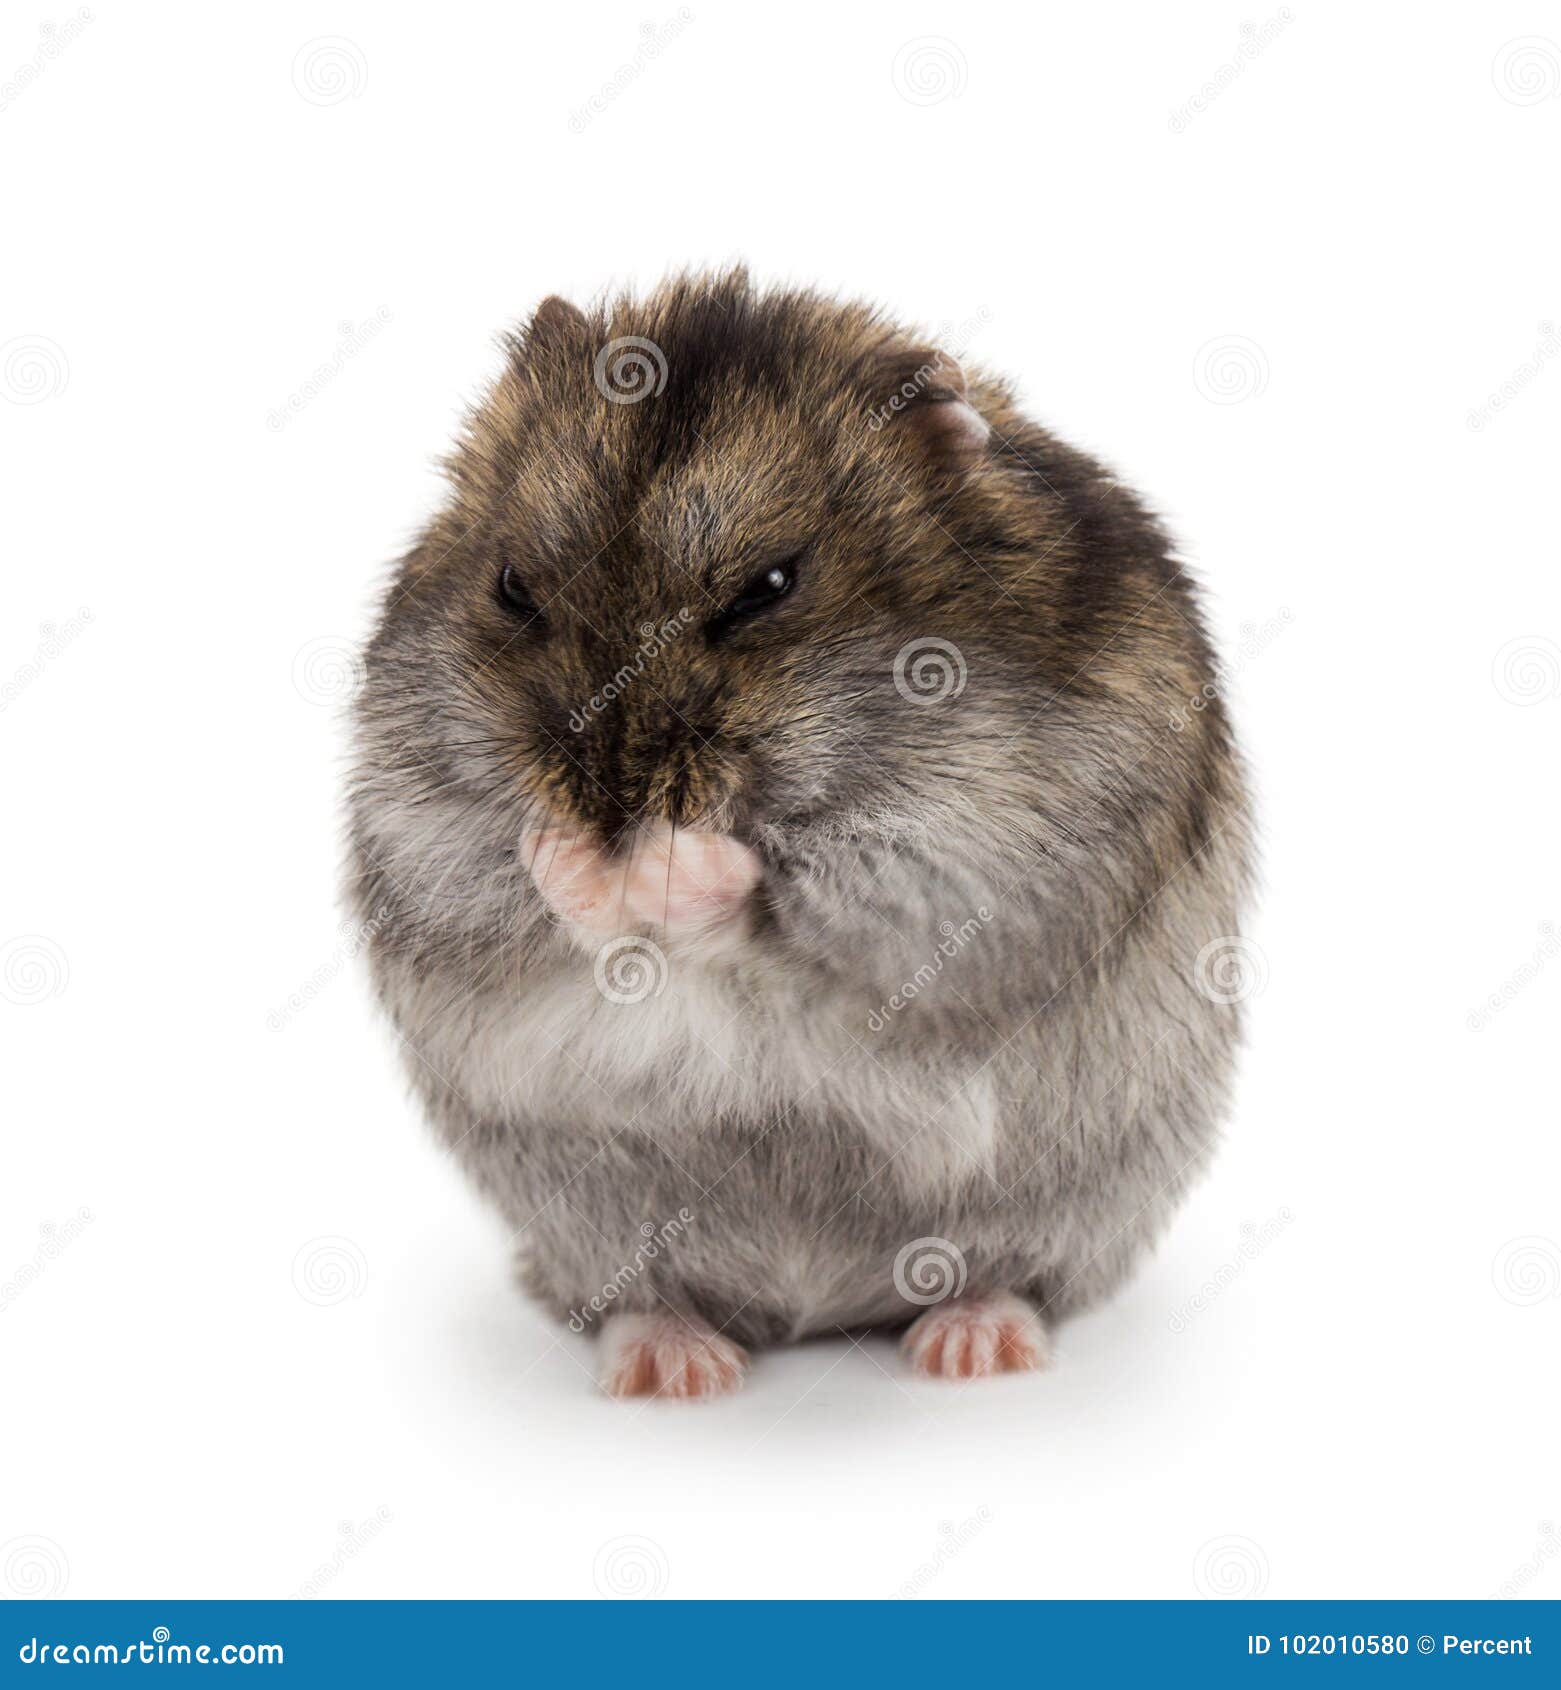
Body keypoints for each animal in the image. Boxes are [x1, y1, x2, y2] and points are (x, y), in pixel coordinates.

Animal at [347, 271, 1252, 1399]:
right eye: (512, 588)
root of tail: (822, 1307)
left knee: (1013, 1278)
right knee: (637, 1295)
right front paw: (571, 856)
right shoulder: (411, 835)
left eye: (766, 589)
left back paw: (972, 1347)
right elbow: (496, 883)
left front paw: (671, 861)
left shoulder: (982, 852)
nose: (608, 809)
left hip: (1080, 1203)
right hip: (586, 1228)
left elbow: (794, 891)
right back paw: (676, 1368)